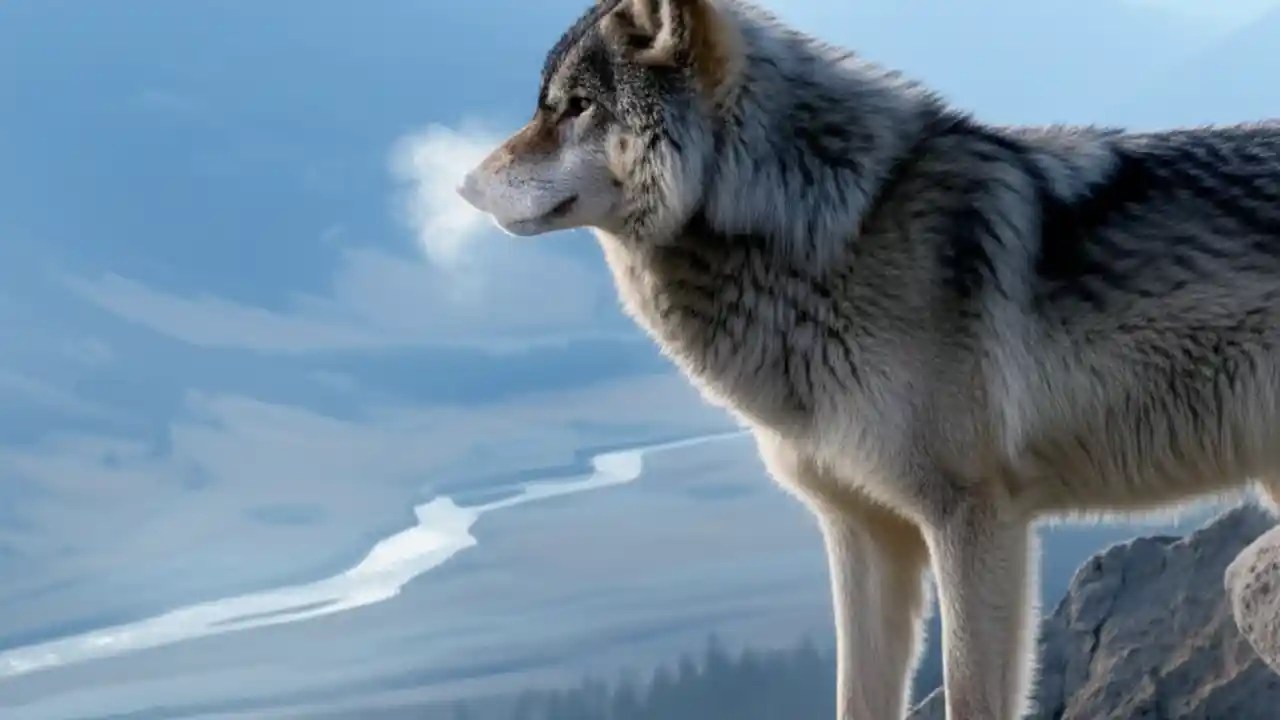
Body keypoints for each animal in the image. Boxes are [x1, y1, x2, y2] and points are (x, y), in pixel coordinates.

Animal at [457, 1, 1280, 717]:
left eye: (575, 107)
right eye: (547, 105)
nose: (462, 185)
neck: (819, 229)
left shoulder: (974, 521)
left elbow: (972, 698)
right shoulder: (862, 532)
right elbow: (857, 698)